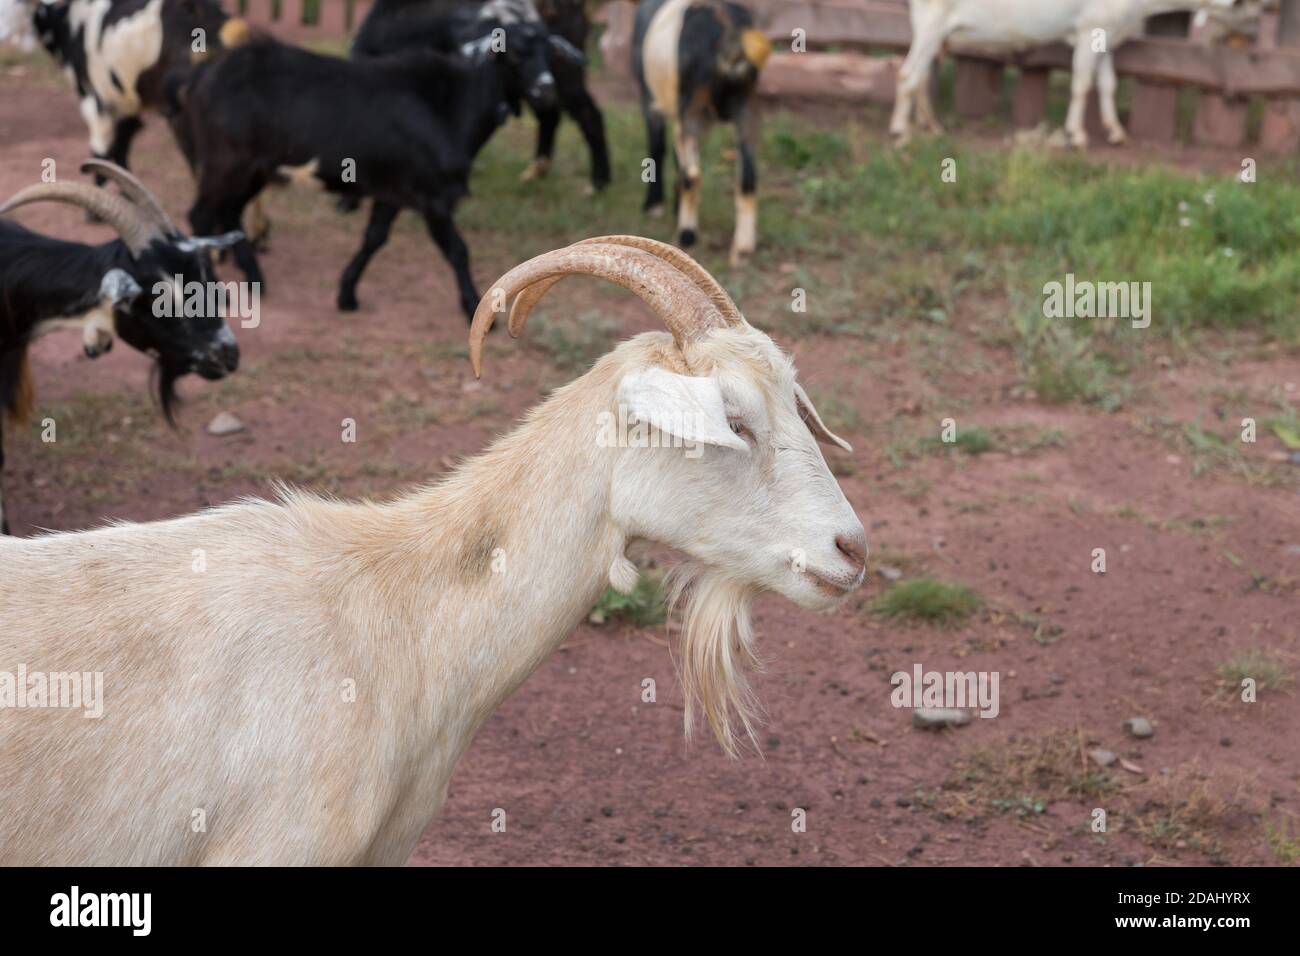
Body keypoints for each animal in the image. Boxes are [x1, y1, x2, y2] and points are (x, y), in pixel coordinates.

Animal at [172, 25, 559, 320]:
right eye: (515, 54)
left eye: (547, 51)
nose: (545, 89)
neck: (450, 107)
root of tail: (203, 74)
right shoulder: (432, 197)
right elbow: (457, 250)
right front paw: (474, 309)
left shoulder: (395, 192)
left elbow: (374, 238)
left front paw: (347, 295)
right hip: (226, 161)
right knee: (202, 215)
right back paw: (213, 292)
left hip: (254, 169)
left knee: (229, 213)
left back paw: (254, 278)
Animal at [353, 0, 610, 193]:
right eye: (513, 53)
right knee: (551, 115)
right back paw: (537, 172)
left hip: (564, 77)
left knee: (587, 114)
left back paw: (598, 183)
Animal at [633, 0, 771, 266]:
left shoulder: (651, 101)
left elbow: (658, 148)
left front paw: (654, 205)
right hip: (746, 103)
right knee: (747, 178)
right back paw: (742, 249)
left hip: (692, 106)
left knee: (693, 174)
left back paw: (686, 235)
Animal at [891, 0, 1264, 149]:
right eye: (1250, 7)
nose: (1258, 33)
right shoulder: (1089, 30)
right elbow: (1082, 83)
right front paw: (1078, 135)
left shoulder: (1109, 36)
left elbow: (1108, 84)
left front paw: (1116, 132)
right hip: (931, 22)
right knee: (907, 75)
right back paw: (900, 131)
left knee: (921, 77)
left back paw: (931, 126)